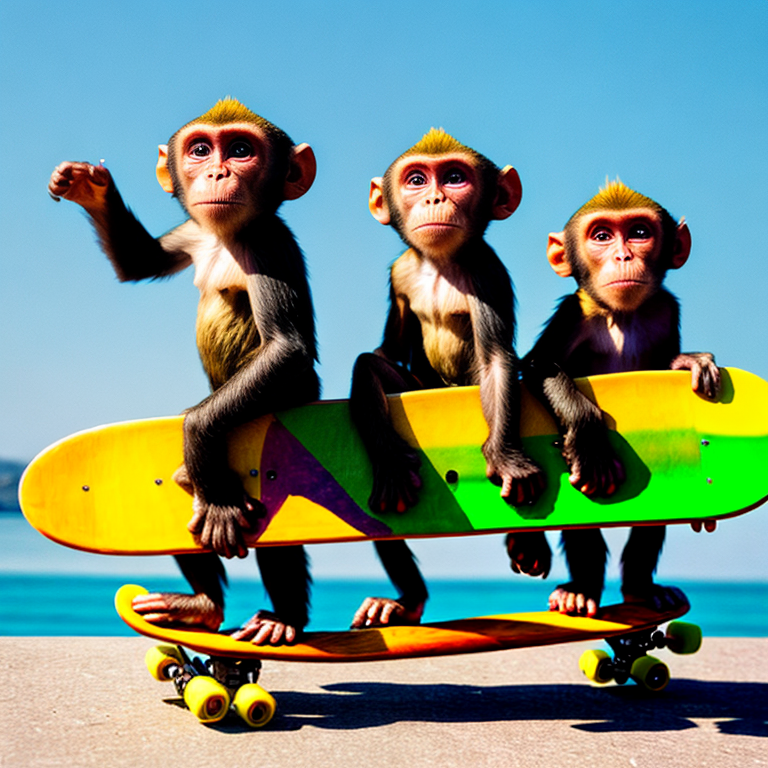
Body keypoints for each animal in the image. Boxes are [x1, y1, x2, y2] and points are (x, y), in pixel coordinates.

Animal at [48, 99, 320, 644]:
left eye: (241, 150)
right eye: (200, 150)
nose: (217, 171)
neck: (224, 238)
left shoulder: (266, 242)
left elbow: (287, 347)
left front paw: (196, 430)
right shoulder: (195, 231)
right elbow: (141, 259)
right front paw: (89, 186)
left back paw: (282, 617)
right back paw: (202, 606)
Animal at [348, 129, 547, 628]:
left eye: (455, 178)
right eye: (417, 179)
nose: (435, 197)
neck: (438, 266)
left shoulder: (486, 272)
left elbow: (496, 361)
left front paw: (505, 457)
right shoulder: (401, 271)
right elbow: (382, 354)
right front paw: (389, 459)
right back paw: (406, 599)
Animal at [507, 179, 721, 618]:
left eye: (639, 232)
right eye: (602, 236)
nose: (623, 255)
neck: (621, 316)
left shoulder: (665, 309)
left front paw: (689, 361)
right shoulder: (575, 312)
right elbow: (539, 364)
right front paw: (587, 434)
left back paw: (642, 587)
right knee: (583, 528)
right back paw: (581, 589)